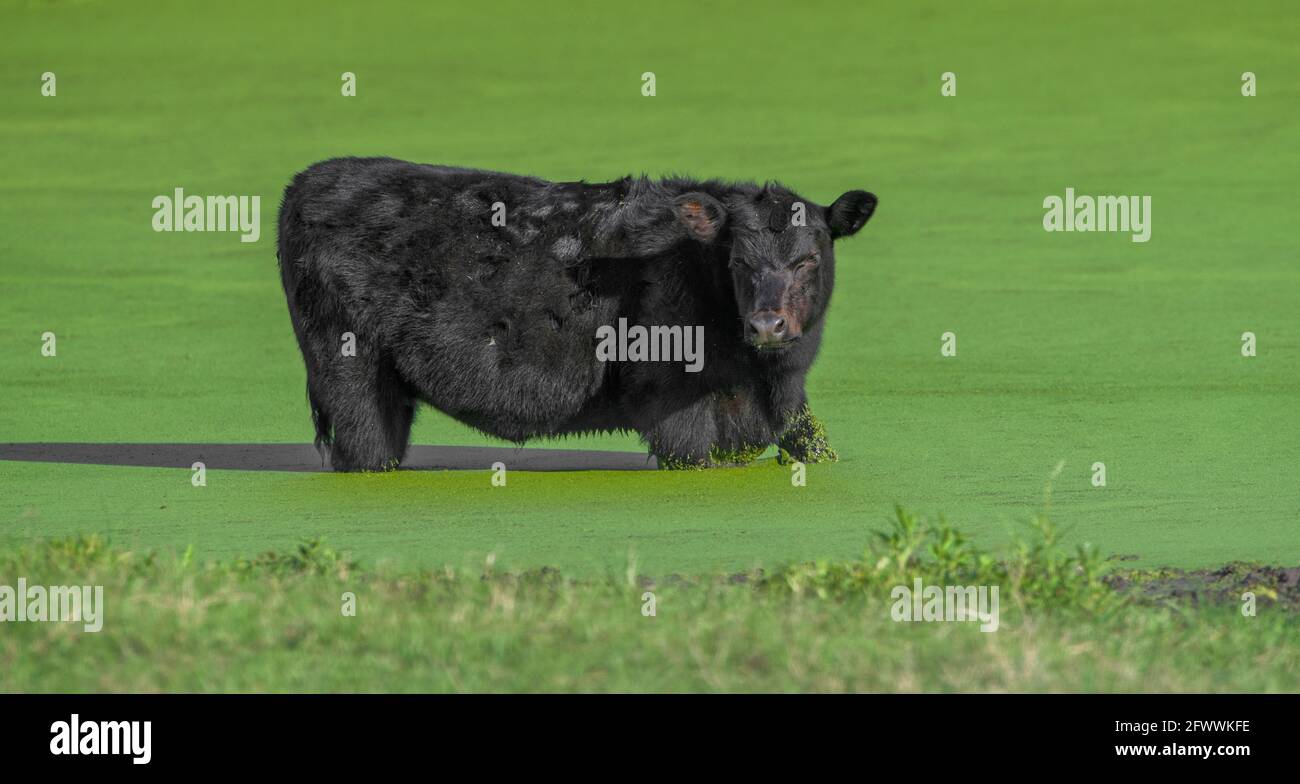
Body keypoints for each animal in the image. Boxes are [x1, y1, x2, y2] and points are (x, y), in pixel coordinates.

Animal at [276, 157, 877, 471]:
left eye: (809, 258)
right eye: (737, 259)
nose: (767, 325)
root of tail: (308, 178)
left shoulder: (782, 406)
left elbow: (815, 445)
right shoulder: (671, 406)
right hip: (350, 374)